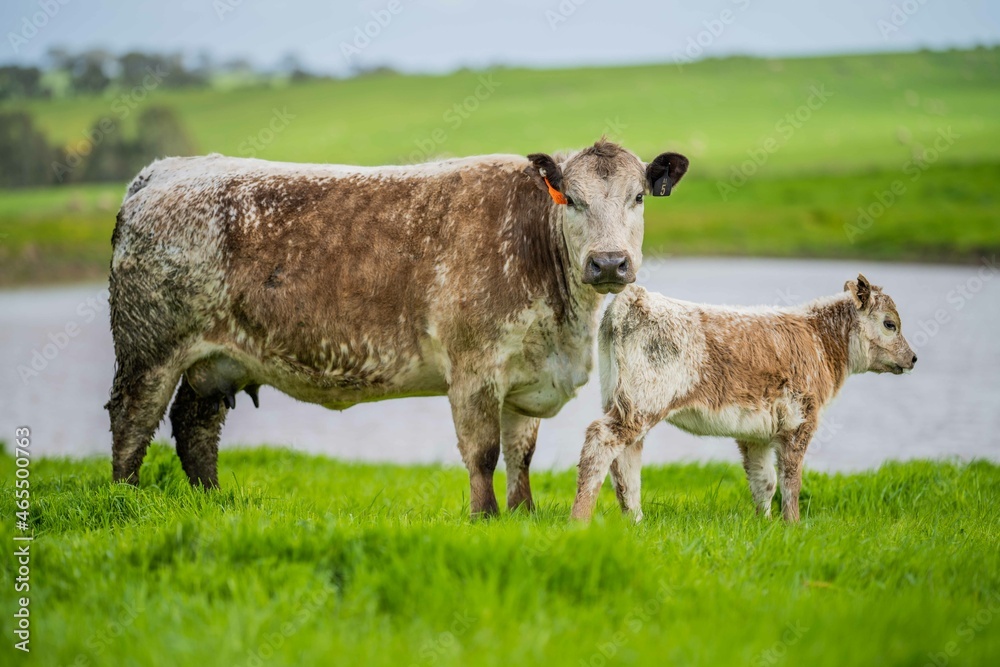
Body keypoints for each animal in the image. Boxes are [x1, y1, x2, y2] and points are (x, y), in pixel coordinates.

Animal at [107, 140, 689, 516]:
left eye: (638, 196)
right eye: (572, 198)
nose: (609, 262)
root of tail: (161, 173)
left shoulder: (527, 373)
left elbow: (521, 454)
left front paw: (524, 516)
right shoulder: (474, 370)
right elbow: (483, 454)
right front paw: (485, 517)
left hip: (213, 361)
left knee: (195, 428)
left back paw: (212, 502)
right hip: (148, 349)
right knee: (132, 421)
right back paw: (125, 499)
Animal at [570, 275, 916, 523]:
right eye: (890, 323)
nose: (913, 358)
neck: (819, 340)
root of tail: (634, 297)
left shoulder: (756, 433)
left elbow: (764, 481)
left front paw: (764, 525)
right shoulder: (800, 421)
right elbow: (791, 481)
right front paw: (793, 525)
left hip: (621, 399)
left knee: (626, 459)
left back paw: (635, 520)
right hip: (642, 403)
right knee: (601, 442)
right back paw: (580, 519)